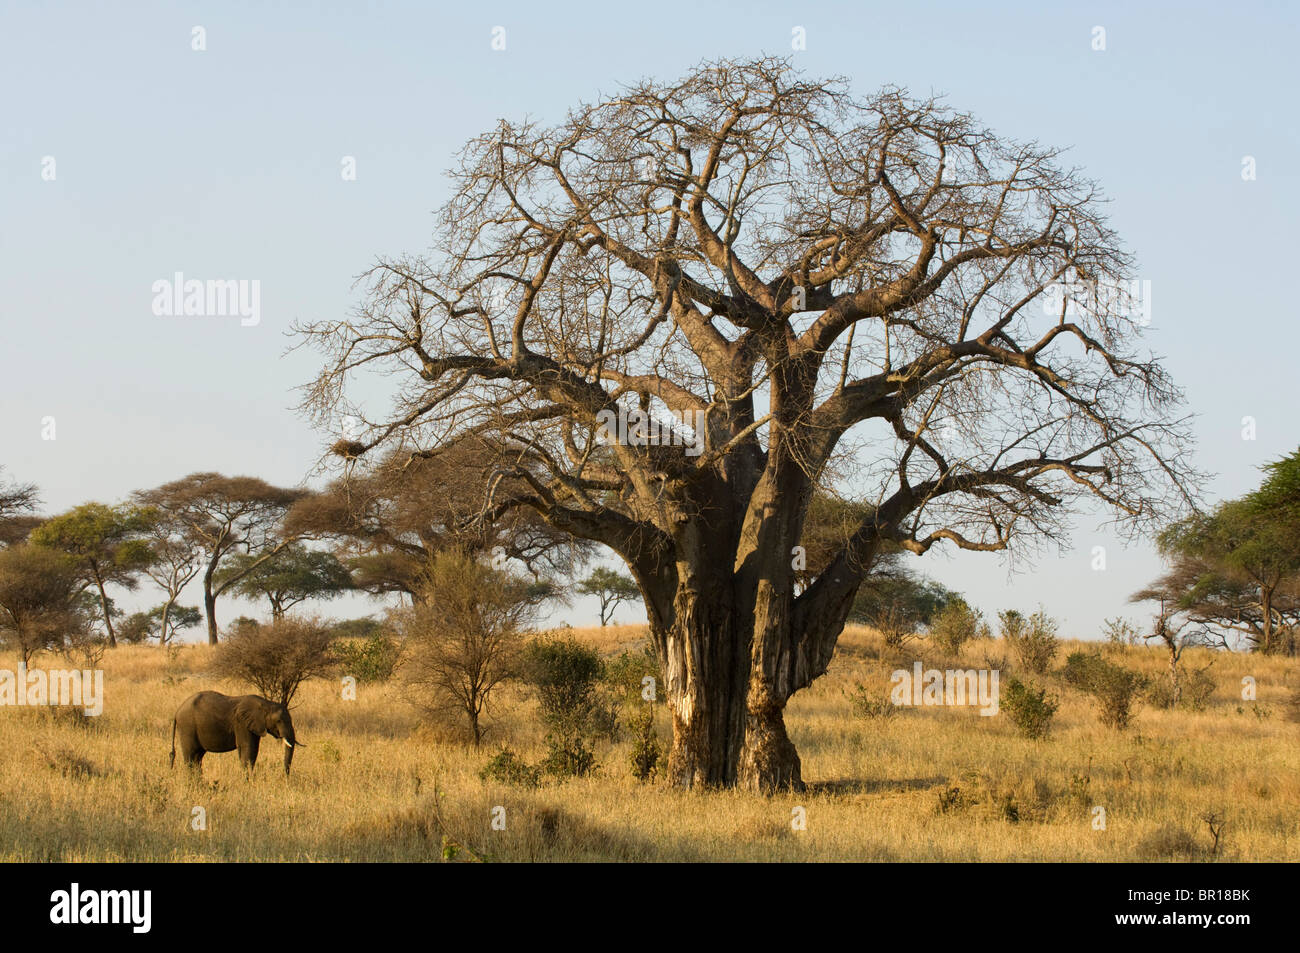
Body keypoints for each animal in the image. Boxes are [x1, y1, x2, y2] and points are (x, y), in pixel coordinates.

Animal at [170, 691, 302, 776]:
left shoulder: (253, 726)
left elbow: (254, 750)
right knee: (191, 756)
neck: (266, 703)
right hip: (187, 727)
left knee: (198, 757)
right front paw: (246, 781)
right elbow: (247, 748)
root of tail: (177, 712)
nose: (285, 776)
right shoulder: (241, 723)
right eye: (279, 721)